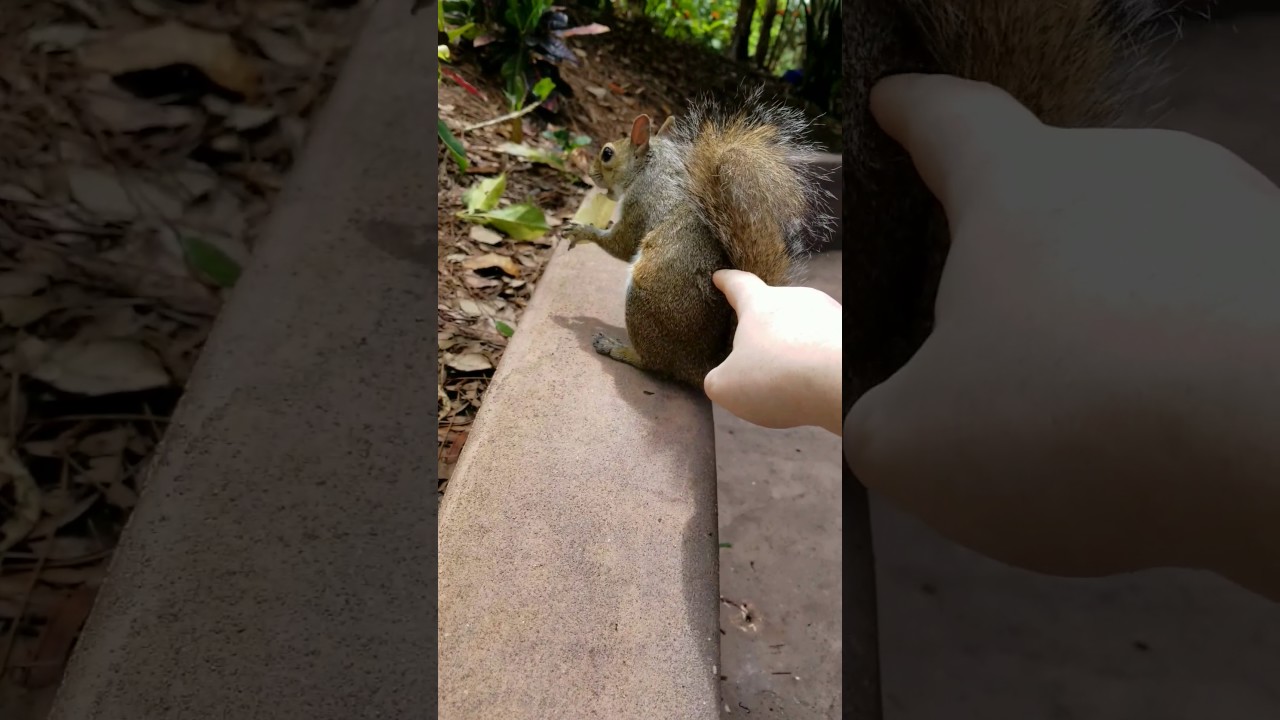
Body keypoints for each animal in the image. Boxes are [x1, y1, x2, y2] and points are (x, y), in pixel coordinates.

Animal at [563, 88, 834, 388]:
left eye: (607, 154)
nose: (590, 173)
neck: (653, 166)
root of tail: (702, 364)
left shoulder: (642, 203)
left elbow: (622, 244)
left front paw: (582, 230)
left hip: (644, 300)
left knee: (655, 365)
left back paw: (619, 349)